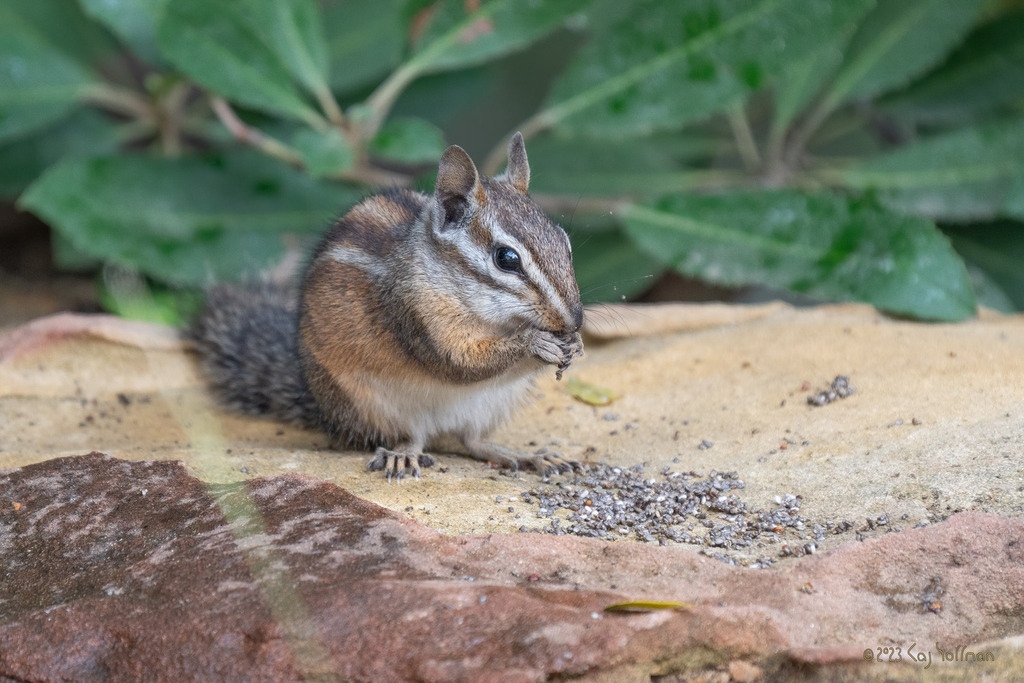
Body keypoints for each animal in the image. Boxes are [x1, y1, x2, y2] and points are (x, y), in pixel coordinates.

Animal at [189, 133, 584, 481]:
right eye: (506, 259)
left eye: (565, 243)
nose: (575, 320)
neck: (491, 317)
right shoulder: (414, 315)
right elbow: (460, 362)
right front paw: (535, 341)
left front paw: (573, 346)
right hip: (375, 407)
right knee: (413, 438)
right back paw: (403, 456)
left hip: (491, 405)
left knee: (474, 442)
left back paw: (532, 456)